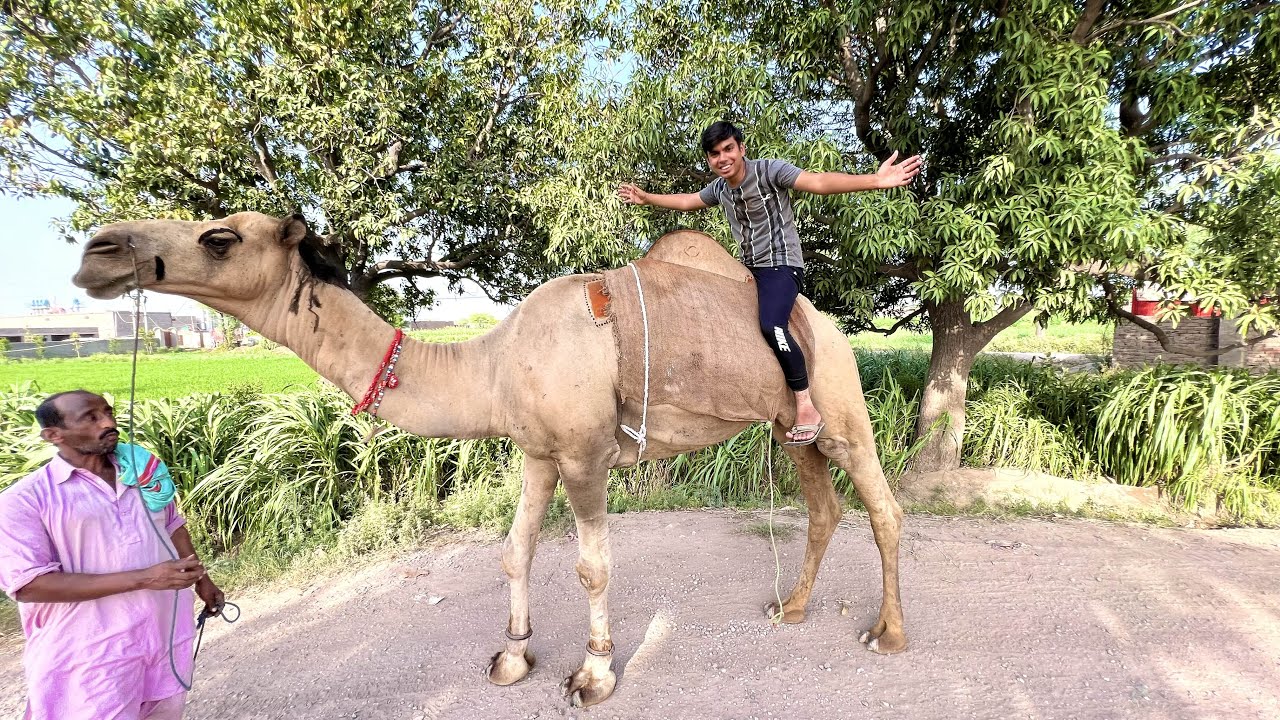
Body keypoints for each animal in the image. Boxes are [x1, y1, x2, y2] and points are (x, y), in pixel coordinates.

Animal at [72, 211, 906, 708]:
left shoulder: (584, 452)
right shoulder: (537, 451)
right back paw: (791, 608)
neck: (496, 362)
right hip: (791, 426)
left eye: (220, 236)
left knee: (884, 508)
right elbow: (515, 548)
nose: (97, 250)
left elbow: (591, 565)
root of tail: (828, 327)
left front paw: (594, 673)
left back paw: (888, 634)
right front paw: (512, 657)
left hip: (839, 400)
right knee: (824, 506)